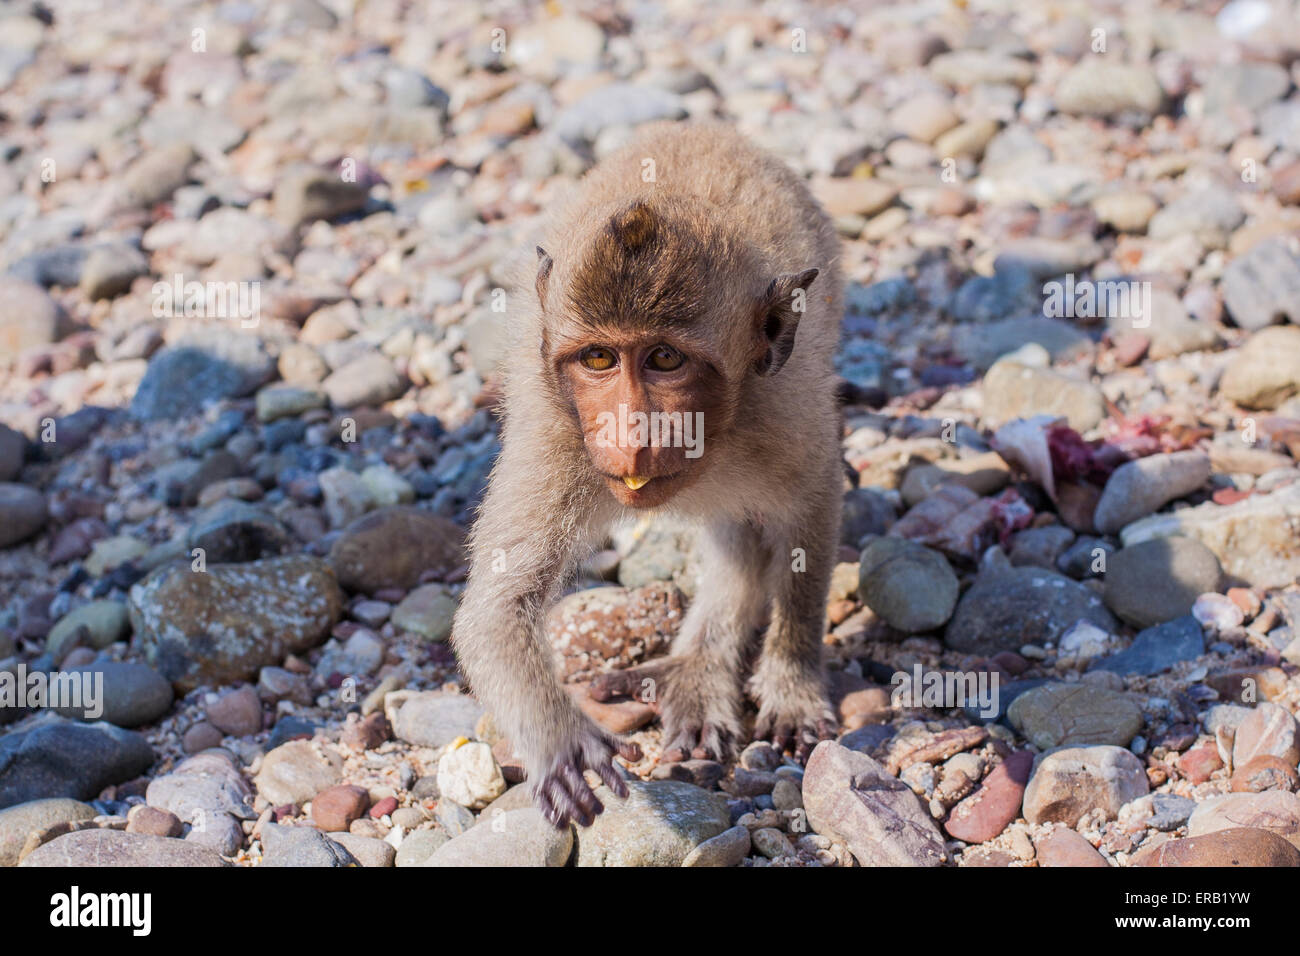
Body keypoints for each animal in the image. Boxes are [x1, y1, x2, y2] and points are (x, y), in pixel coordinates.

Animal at [451, 122, 844, 829]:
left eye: (664, 359)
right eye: (599, 359)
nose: (629, 432)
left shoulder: (784, 417)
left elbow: (813, 509)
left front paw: (793, 678)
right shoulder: (555, 441)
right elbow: (496, 608)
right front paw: (560, 739)